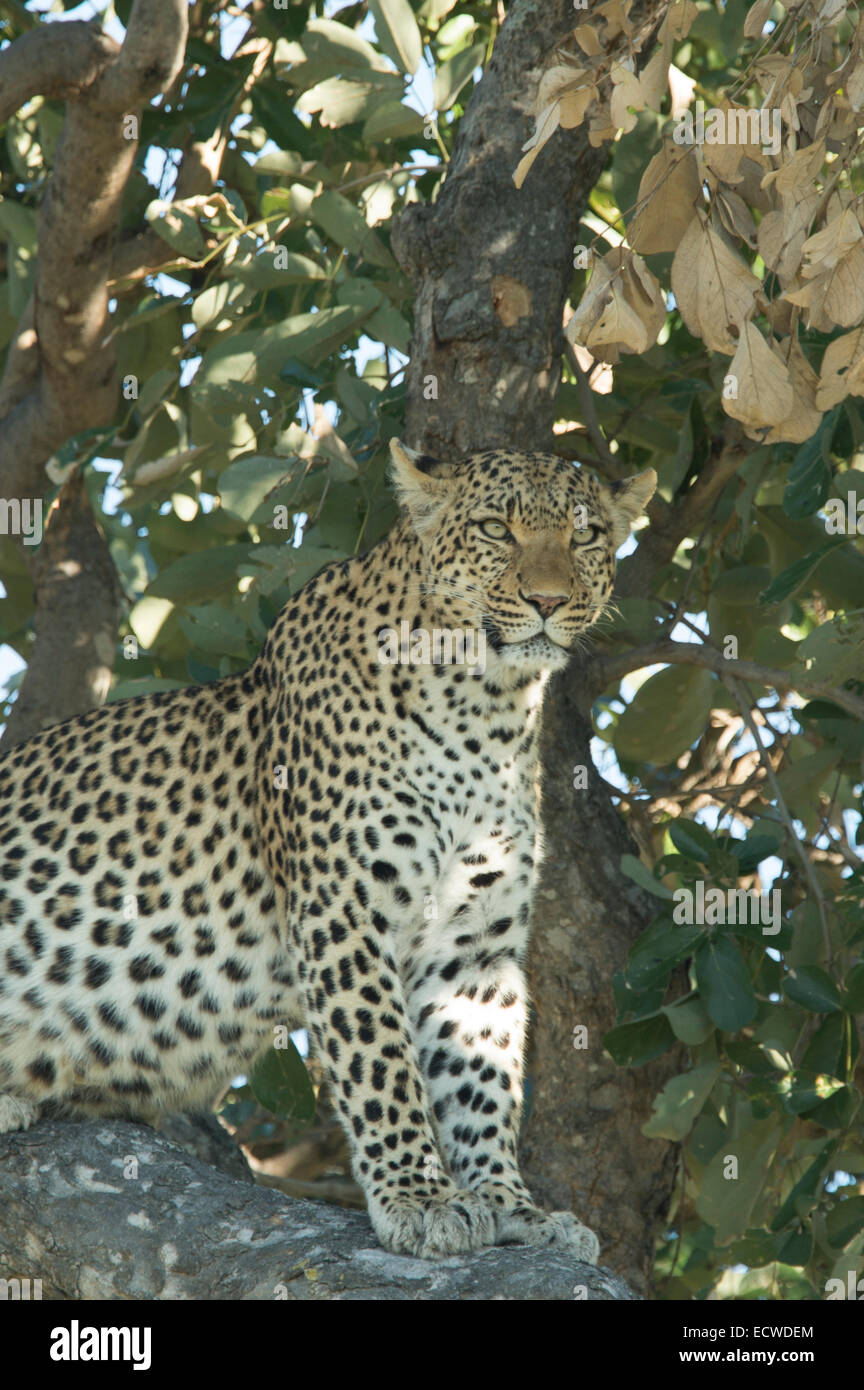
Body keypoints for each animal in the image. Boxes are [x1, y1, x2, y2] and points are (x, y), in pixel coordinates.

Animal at [0, 440, 655, 1261]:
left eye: (586, 535)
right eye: (495, 529)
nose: (546, 600)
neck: (489, 709)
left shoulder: (473, 945)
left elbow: (480, 1081)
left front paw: (512, 1208)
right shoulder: (344, 910)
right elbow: (381, 1059)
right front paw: (419, 1198)